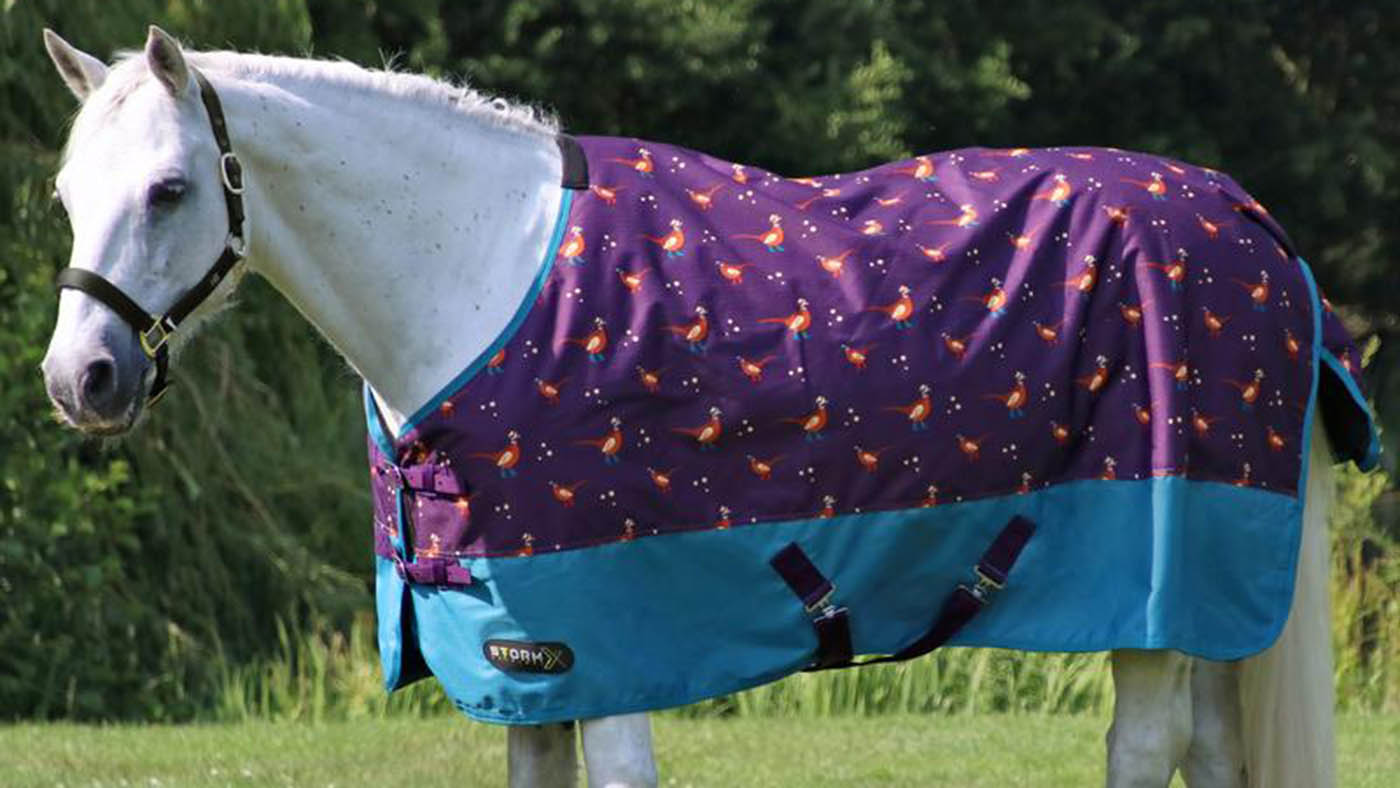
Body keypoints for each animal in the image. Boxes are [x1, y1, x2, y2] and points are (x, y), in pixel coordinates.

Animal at [38, 27, 1377, 787]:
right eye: (64, 191)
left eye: (169, 189)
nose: (78, 378)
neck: (480, 278)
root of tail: (1252, 229)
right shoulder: (529, 665)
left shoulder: (613, 641)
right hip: (1204, 607)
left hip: (1150, 583)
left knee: (1142, 749)